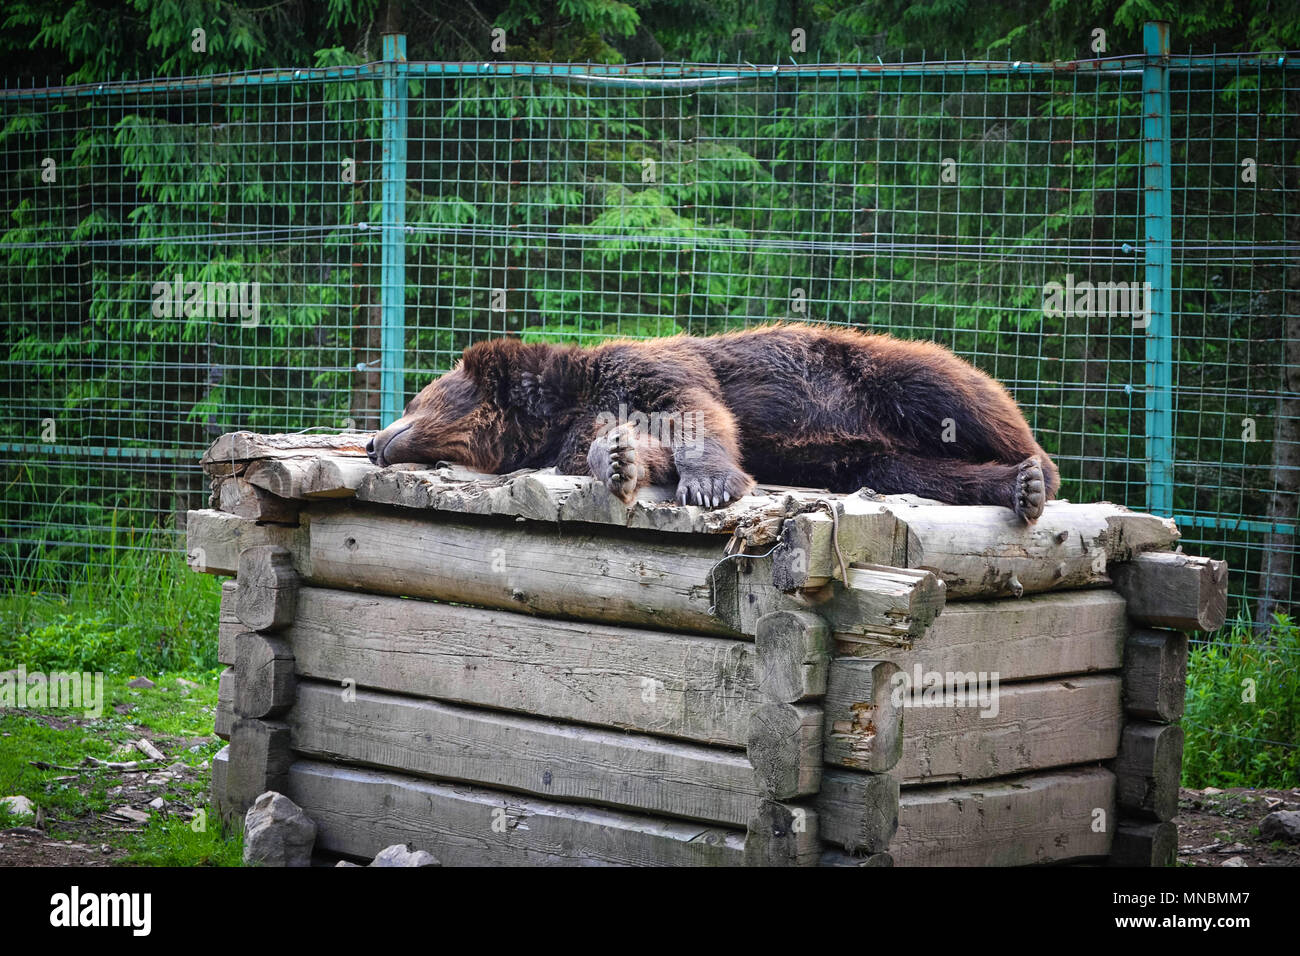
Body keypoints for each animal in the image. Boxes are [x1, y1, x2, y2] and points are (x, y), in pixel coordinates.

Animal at [365, 323, 1061, 521]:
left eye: (414, 397)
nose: (373, 441)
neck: (560, 404)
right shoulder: (582, 422)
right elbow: (636, 444)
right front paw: (617, 461)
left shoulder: (648, 366)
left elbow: (694, 414)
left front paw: (709, 485)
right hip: (861, 455)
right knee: (913, 471)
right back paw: (1014, 486)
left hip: (865, 371)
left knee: (951, 392)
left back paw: (1038, 473)